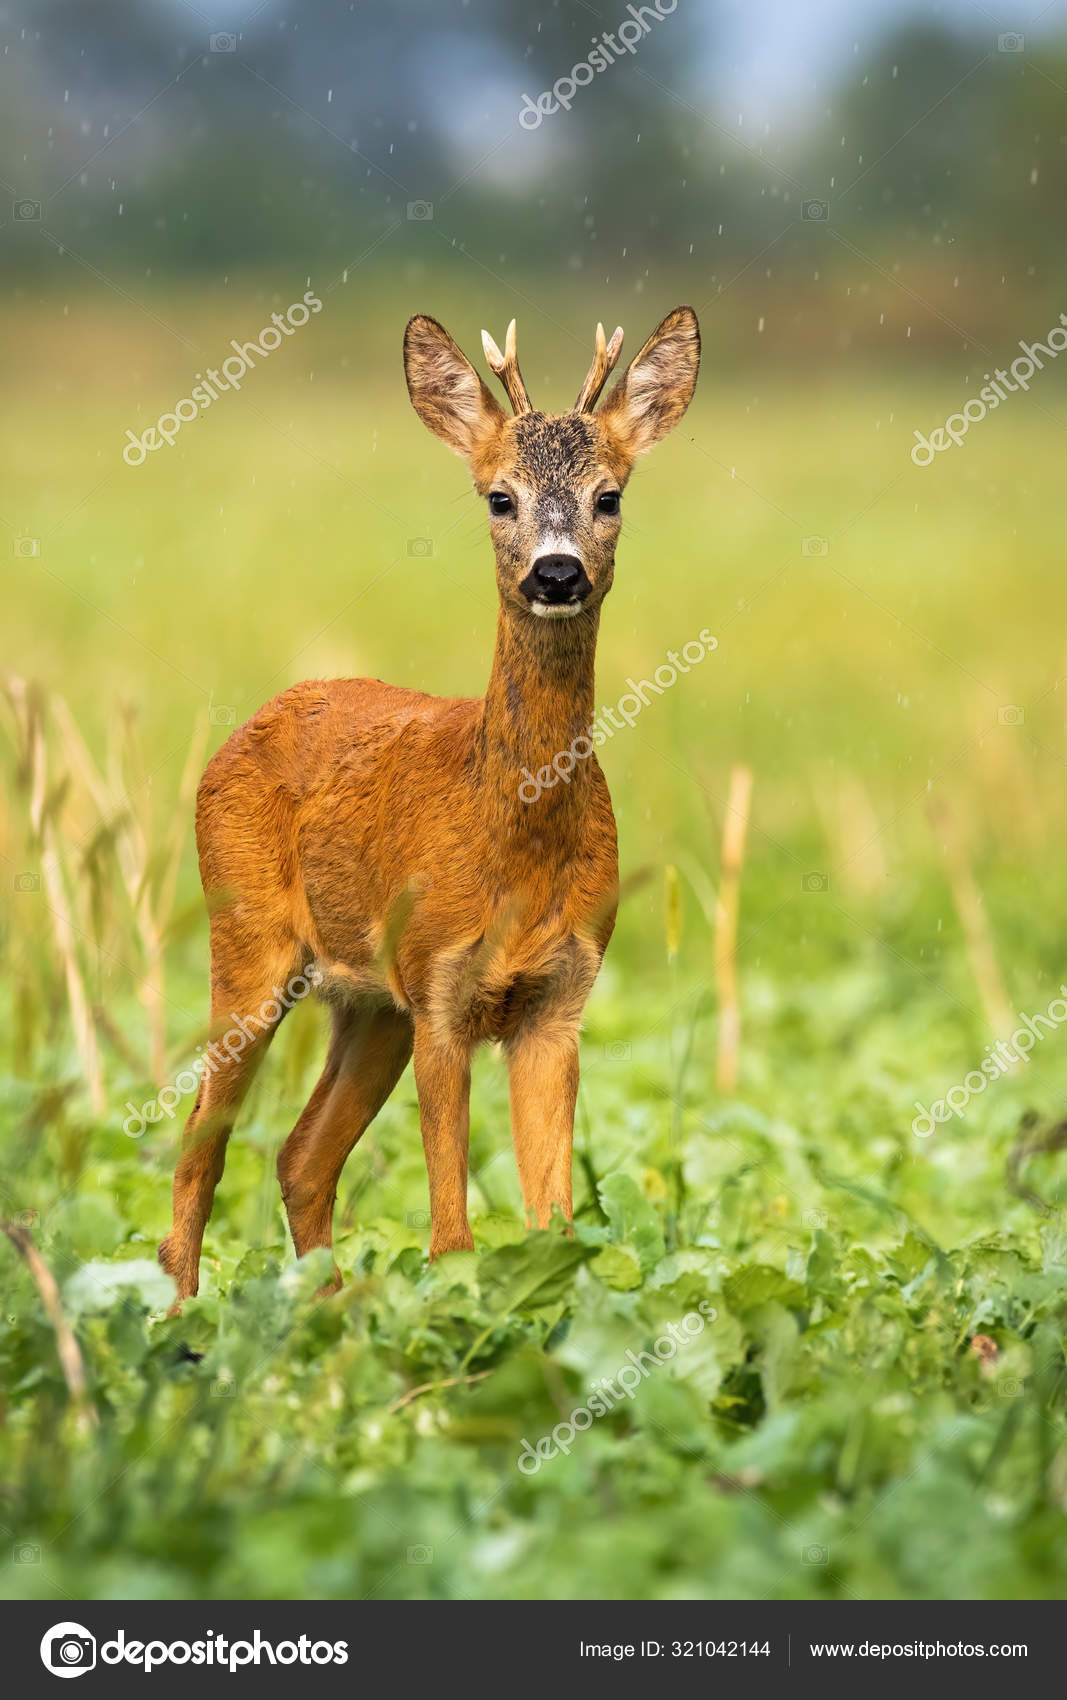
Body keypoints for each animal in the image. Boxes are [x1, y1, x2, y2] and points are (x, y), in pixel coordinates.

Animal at [158, 305, 700, 1309]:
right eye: (498, 498)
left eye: (609, 496)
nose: (556, 574)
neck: (514, 852)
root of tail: (249, 722)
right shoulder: (441, 988)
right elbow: (451, 1238)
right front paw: (454, 1309)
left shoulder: (557, 997)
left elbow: (554, 1222)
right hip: (247, 941)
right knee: (198, 1143)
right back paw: (177, 1316)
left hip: (369, 1003)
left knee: (300, 1155)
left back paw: (328, 1315)